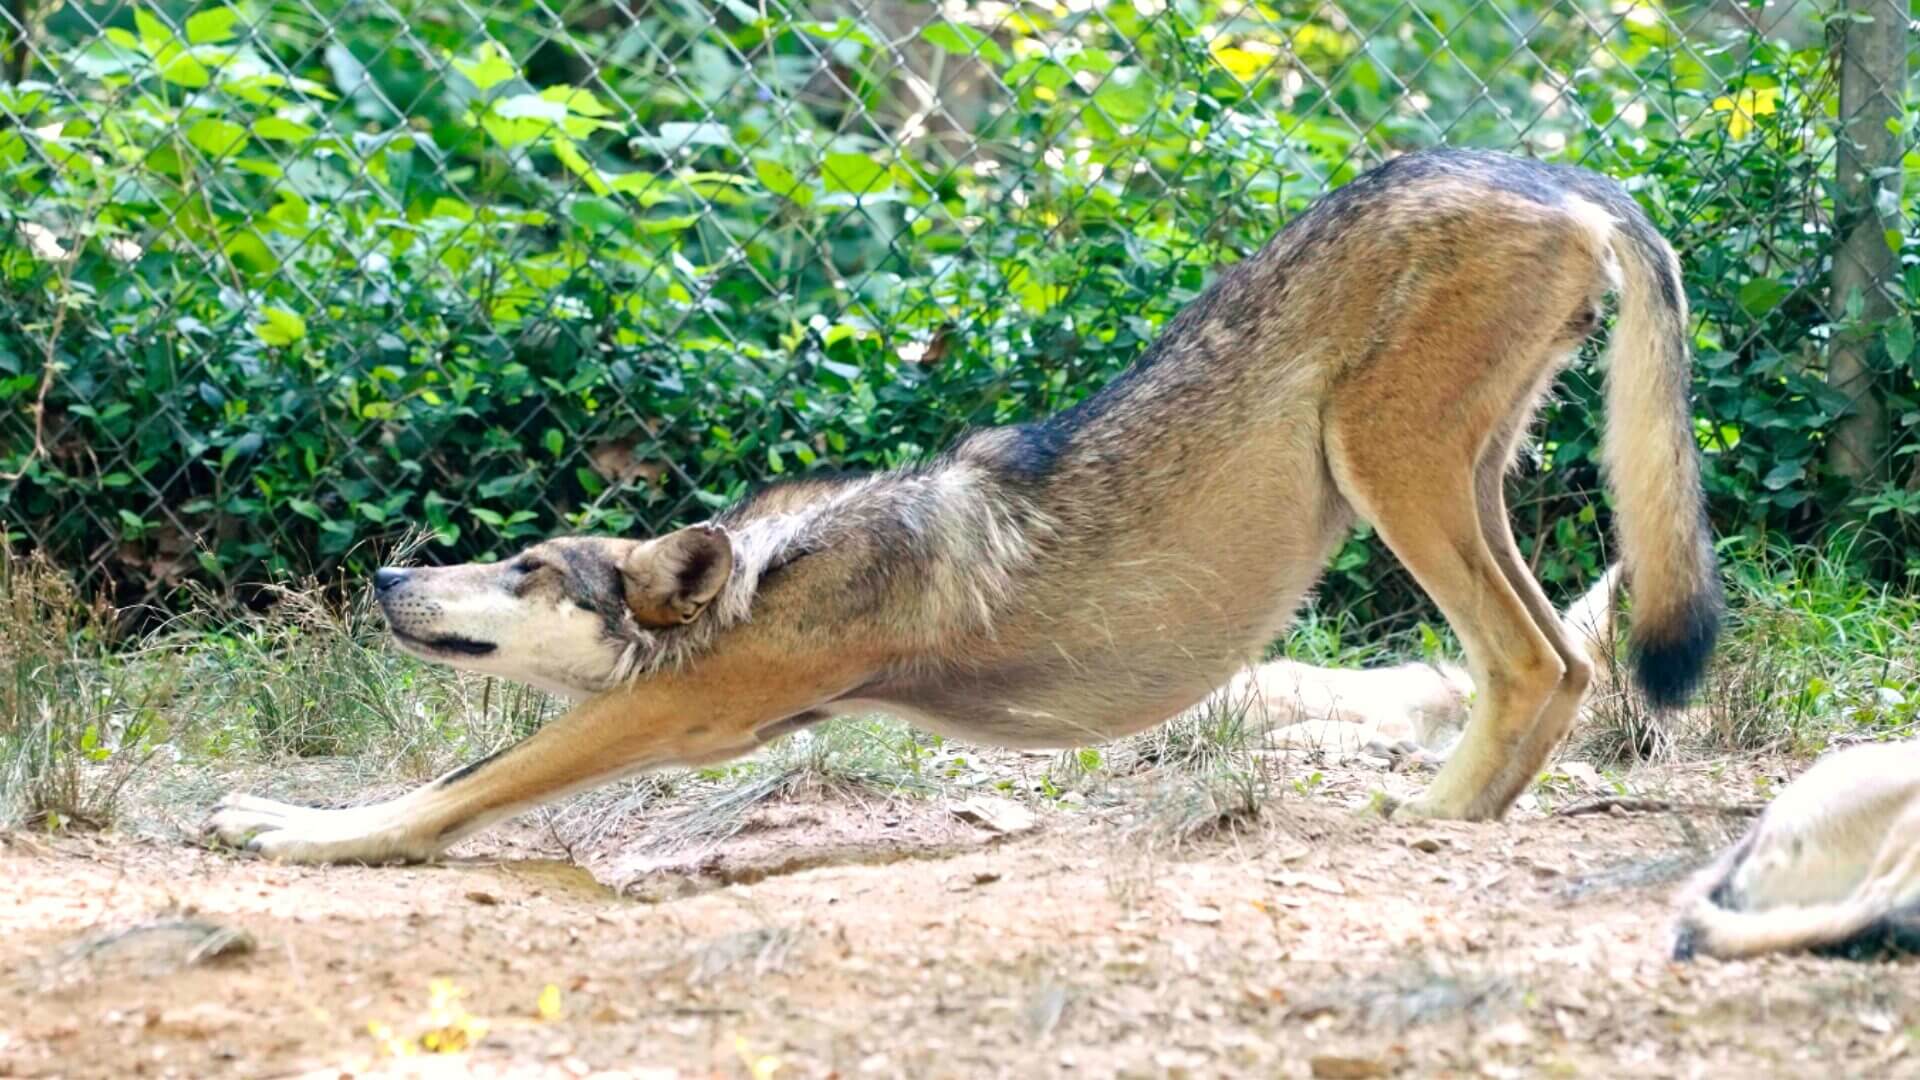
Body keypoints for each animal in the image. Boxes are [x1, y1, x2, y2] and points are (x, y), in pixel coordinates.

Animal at [205, 149, 1719, 864]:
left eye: (527, 566)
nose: (386, 580)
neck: (771, 570)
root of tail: (1569, 175)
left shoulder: (684, 714)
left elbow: (448, 792)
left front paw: (294, 834)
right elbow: (447, 776)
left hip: (1386, 469)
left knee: (1541, 661)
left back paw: (1421, 820)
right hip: (1452, 478)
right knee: (1561, 660)